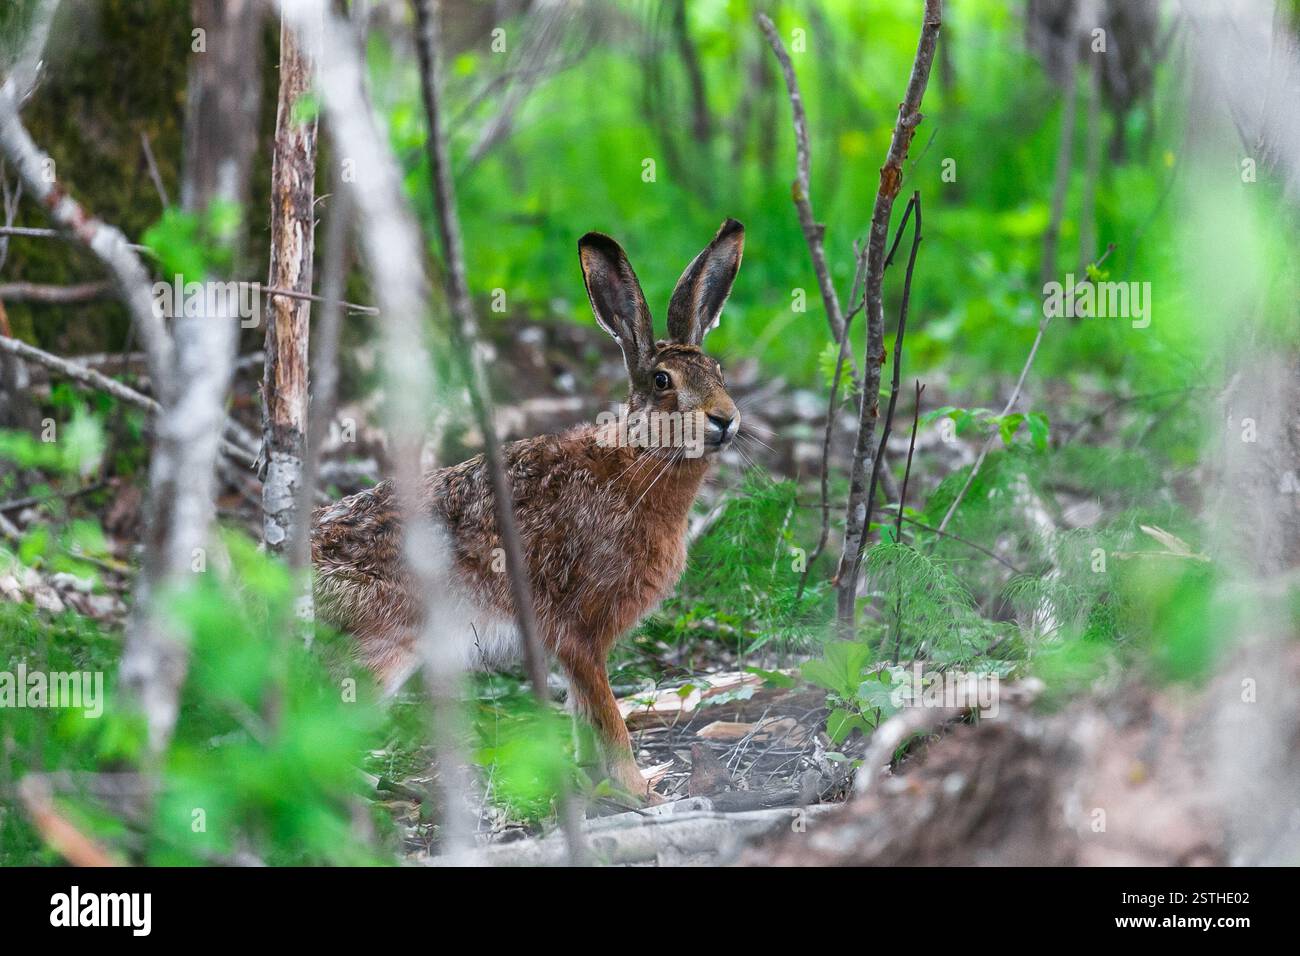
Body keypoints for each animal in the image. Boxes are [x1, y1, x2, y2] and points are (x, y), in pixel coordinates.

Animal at [310, 218, 745, 801]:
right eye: (662, 382)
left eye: (718, 370)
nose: (725, 418)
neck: (639, 459)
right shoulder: (581, 632)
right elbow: (607, 715)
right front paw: (640, 792)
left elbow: (583, 714)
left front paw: (594, 779)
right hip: (381, 647)